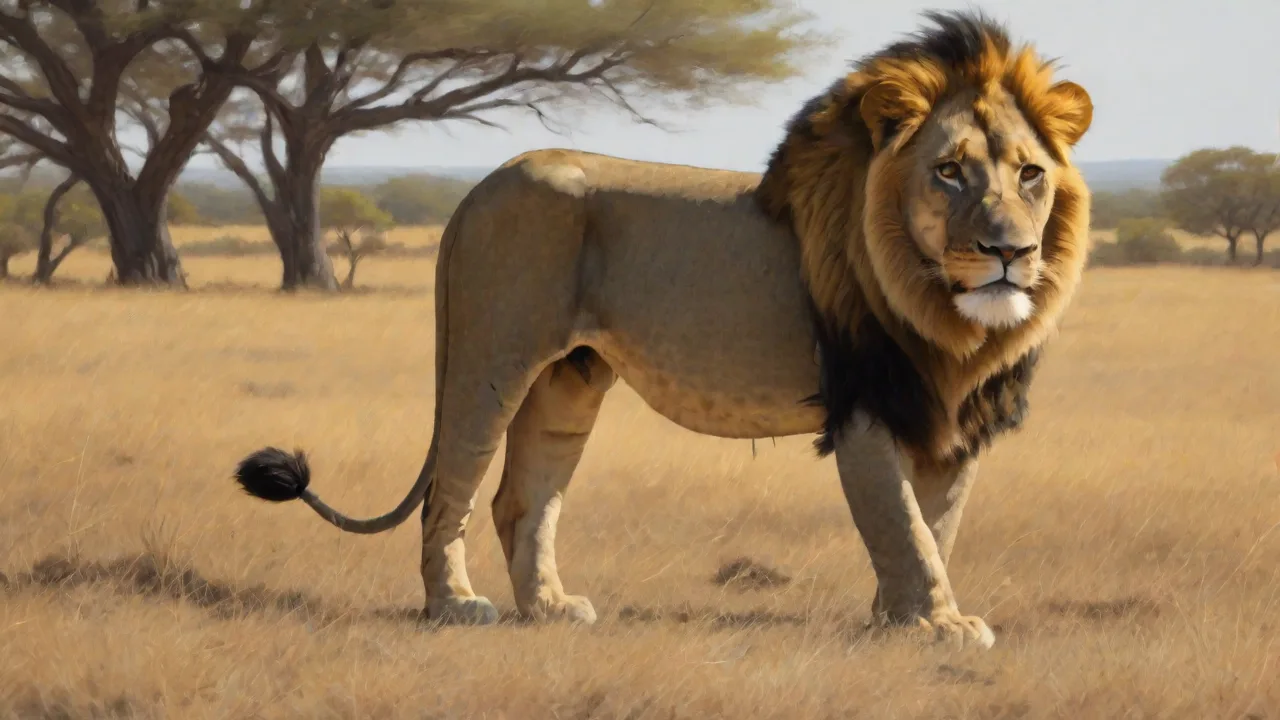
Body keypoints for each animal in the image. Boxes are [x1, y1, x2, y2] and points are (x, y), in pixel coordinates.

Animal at [232, 10, 1092, 650]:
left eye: (1029, 174)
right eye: (948, 172)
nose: (1010, 253)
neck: (946, 315)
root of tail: (480, 186)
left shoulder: (952, 411)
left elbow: (935, 523)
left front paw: (900, 618)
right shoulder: (864, 402)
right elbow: (903, 523)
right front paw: (936, 623)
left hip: (569, 378)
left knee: (520, 497)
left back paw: (549, 610)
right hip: (490, 357)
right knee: (453, 485)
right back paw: (454, 608)